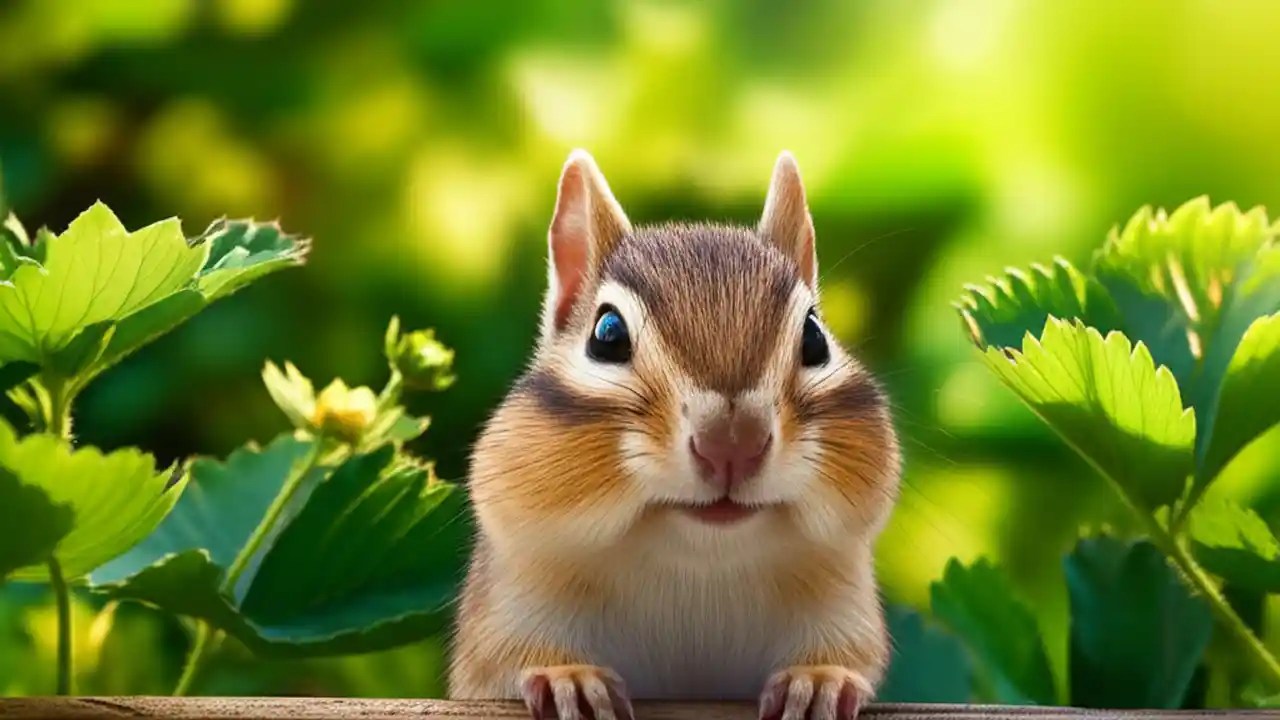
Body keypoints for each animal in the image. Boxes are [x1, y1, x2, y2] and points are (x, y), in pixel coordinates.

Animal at [448, 149, 901, 720]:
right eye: (607, 335)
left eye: (815, 338)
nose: (732, 445)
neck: (696, 569)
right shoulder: (501, 621)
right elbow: (508, 664)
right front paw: (567, 676)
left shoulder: (847, 610)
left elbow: (850, 658)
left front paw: (819, 680)